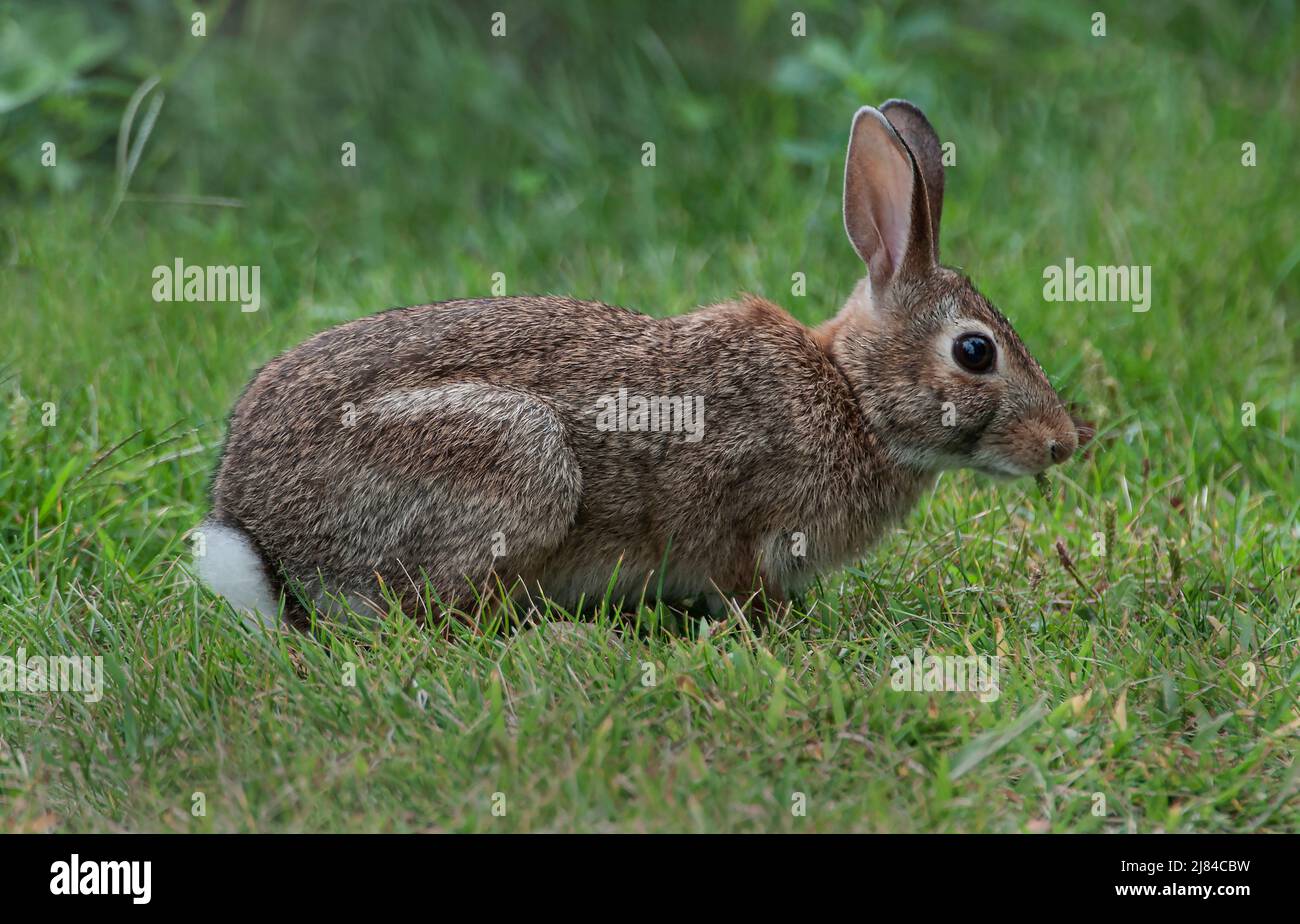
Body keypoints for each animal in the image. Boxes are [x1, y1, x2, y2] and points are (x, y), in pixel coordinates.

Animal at [195, 100, 1081, 630]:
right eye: (975, 351)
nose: (1065, 443)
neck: (853, 396)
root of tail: (259, 534)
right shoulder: (736, 512)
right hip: (517, 456)